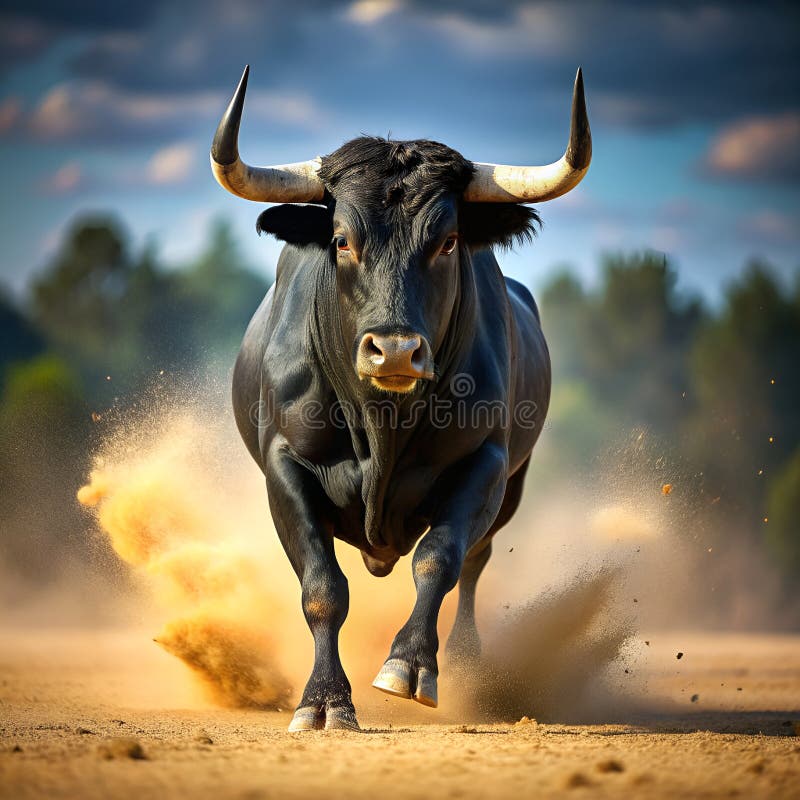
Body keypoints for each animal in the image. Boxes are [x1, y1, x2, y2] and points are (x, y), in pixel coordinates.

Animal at [210, 66, 591, 731]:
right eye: (341, 239)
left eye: (448, 241)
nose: (393, 352)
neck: (382, 424)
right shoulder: (284, 469)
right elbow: (322, 587)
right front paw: (324, 700)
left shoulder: (485, 464)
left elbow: (440, 559)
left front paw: (410, 666)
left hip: (511, 491)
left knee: (473, 565)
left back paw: (467, 662)